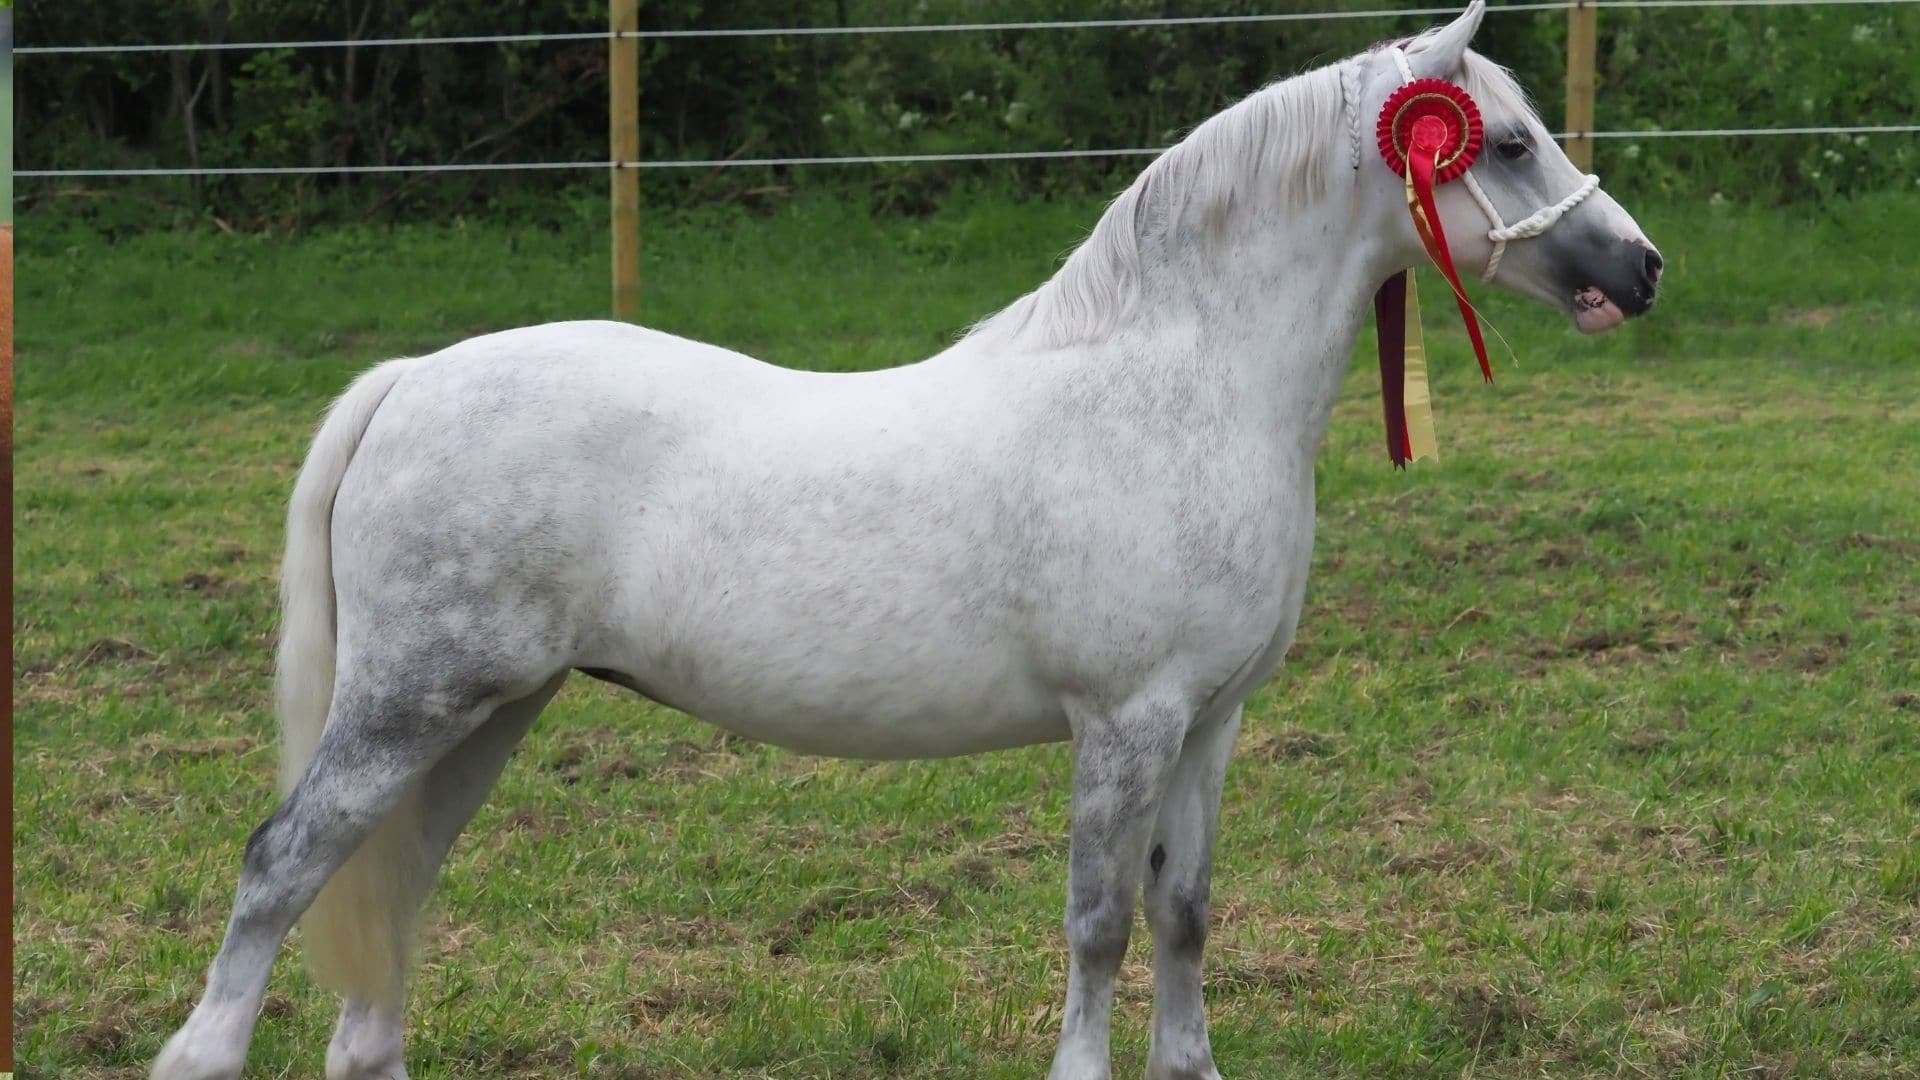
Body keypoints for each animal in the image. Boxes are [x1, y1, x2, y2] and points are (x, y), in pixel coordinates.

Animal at [152, 5, 1661, 1077]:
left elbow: (1181, 917)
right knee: (281, 866)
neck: (1171, 384)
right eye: (1504, 143)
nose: (1638, 270)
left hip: (487, 714)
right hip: (413, 700)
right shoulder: (1125, 723)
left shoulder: (1211, 724)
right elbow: (1098, 922)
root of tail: (412, 377)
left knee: (388, 893)